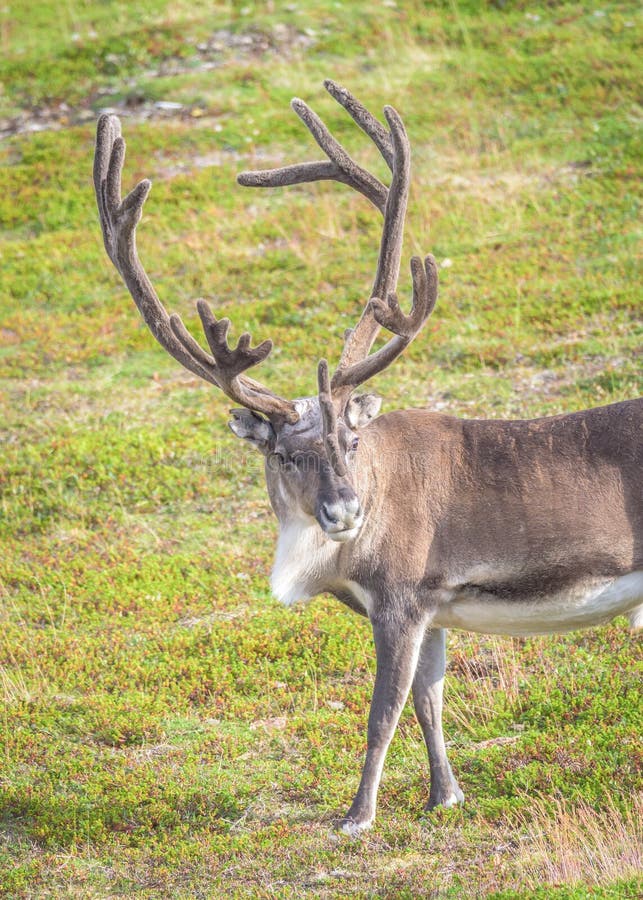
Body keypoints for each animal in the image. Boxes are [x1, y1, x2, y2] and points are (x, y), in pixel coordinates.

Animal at [93, 80, 642, 836]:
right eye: (286, 455)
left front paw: (357, 816)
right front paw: (445, 795)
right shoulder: (433, 608)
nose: (343, 510)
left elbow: (383, 714)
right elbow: (429, 703)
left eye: (350, 442)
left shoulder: (401, 598)